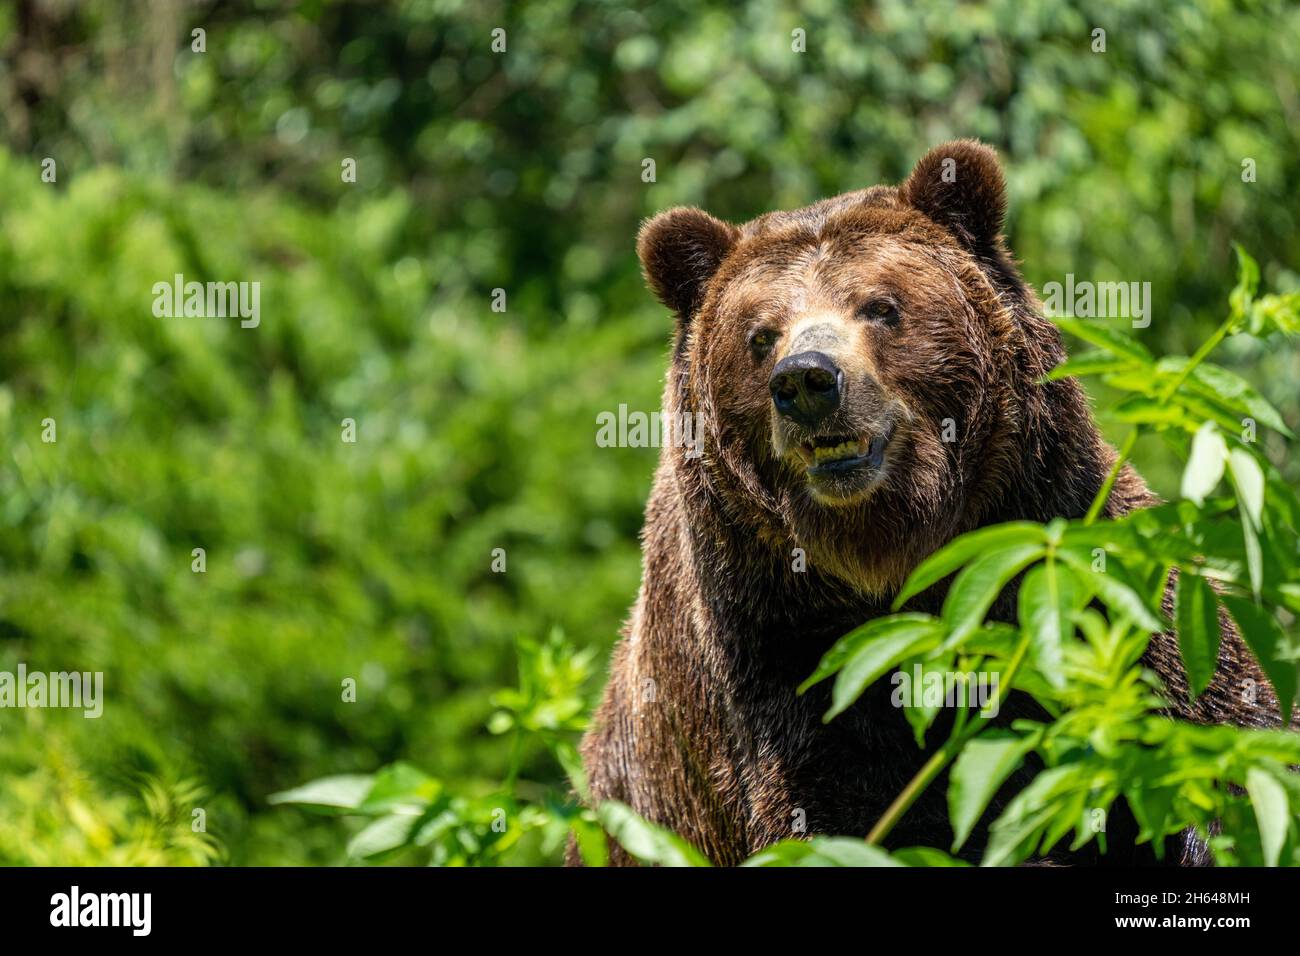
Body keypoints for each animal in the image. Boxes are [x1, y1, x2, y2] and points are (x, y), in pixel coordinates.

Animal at [574, 140, 1284, 867]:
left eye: (880, 306)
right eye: (761, 335)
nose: (807, 380)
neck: (894, 557)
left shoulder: (1082, 552)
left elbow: (1214, 731)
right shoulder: (776, 658)